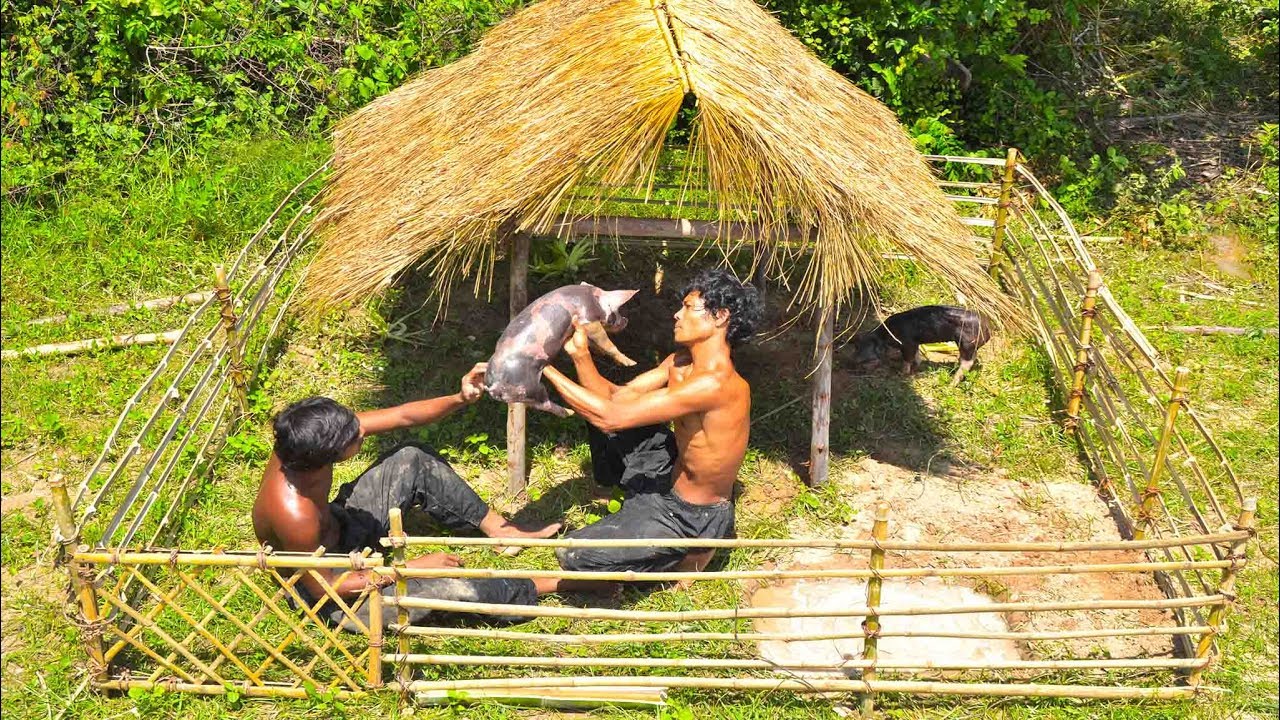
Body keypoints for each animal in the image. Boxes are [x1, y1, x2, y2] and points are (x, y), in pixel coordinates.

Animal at [485, 283, 639, 416]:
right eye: (616, 310)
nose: (626, 320)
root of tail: (492, 386)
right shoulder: (588, 320)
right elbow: (606, 342)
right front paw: (632, 363)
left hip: (520, 394)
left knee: (534, 405)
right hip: (527, 387)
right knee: (545, 404)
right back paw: (571, 412)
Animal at [848, 305, 992, 386]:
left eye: (867, 360)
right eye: (856, 348)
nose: (853, 366)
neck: (887, 336)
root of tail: (988, 328)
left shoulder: (907, 343)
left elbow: (908, 359)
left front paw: (902, 374)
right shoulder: (915, 342)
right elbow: (917, 356)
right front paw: (915, 368)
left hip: (966, 342)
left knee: (967, 362)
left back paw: (951, 384)